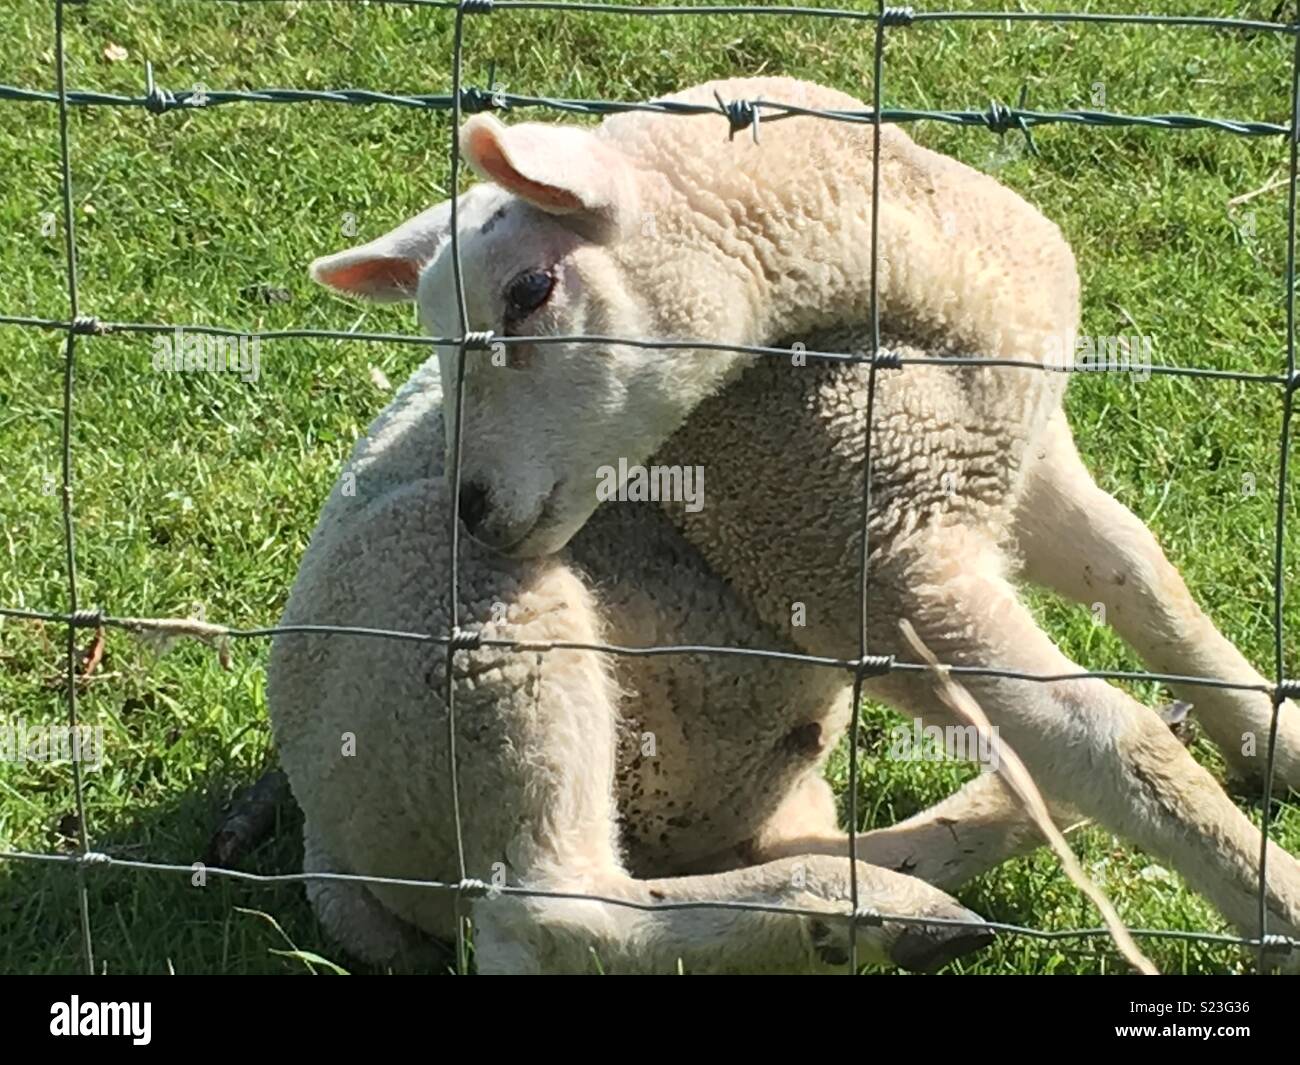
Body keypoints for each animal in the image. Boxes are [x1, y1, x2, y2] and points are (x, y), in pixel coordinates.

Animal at [273, 76, 1300, 973]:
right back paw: (873, 913)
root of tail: (328, 853)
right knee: (552, 914)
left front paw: (1271, 738)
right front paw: (1275, 899)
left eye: (530, 291)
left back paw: (959, 839)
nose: (476, 508)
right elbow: (1103, 732)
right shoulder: (861, 561)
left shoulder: (1025, 462)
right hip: (470, 636)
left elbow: (1146, 579)